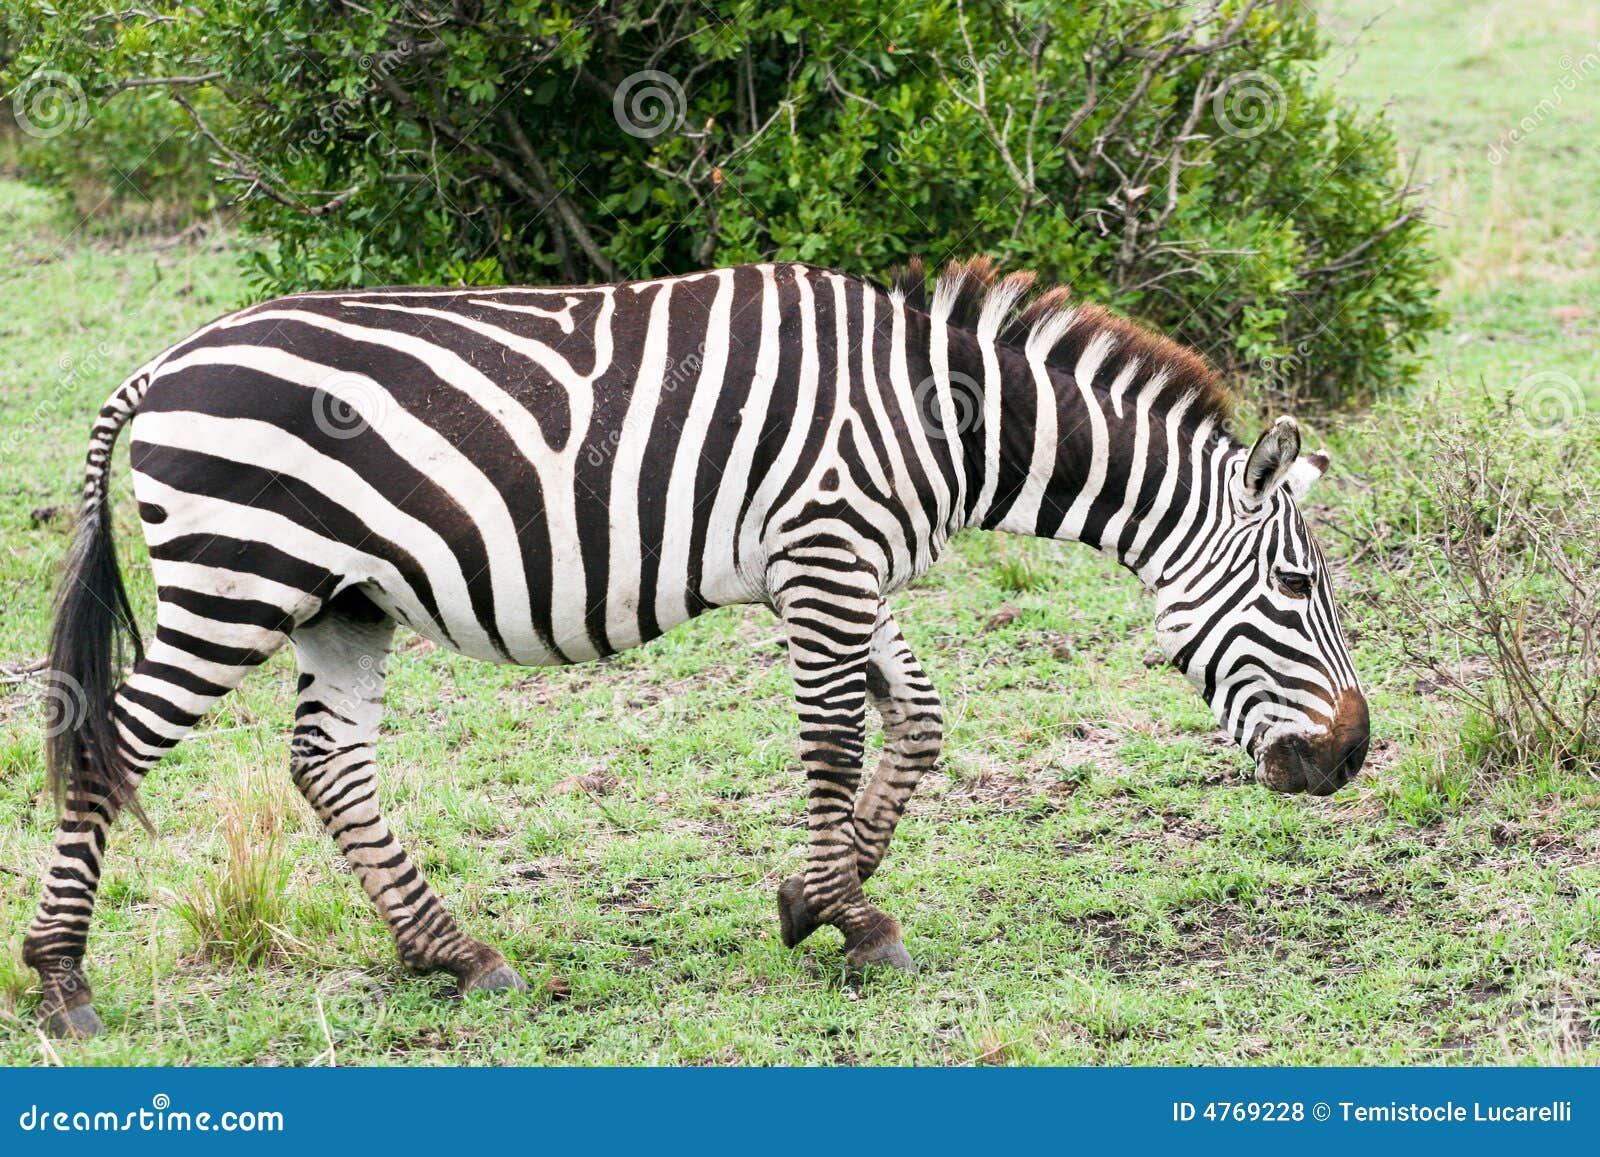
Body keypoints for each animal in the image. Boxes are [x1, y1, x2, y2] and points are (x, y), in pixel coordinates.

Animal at [24, 257, 1369, 1037]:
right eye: (1298, 584)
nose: (1354, 757)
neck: (944, 417)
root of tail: (163, 362)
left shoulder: (835, 562)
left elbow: (920, 714)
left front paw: (822, 899)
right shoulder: (826, 551)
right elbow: (832, 741)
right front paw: (843, 915)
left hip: (341, 600)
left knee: (325, 763)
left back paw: (452, 954)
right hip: (237, 581)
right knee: (110, 742)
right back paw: (60, 977)